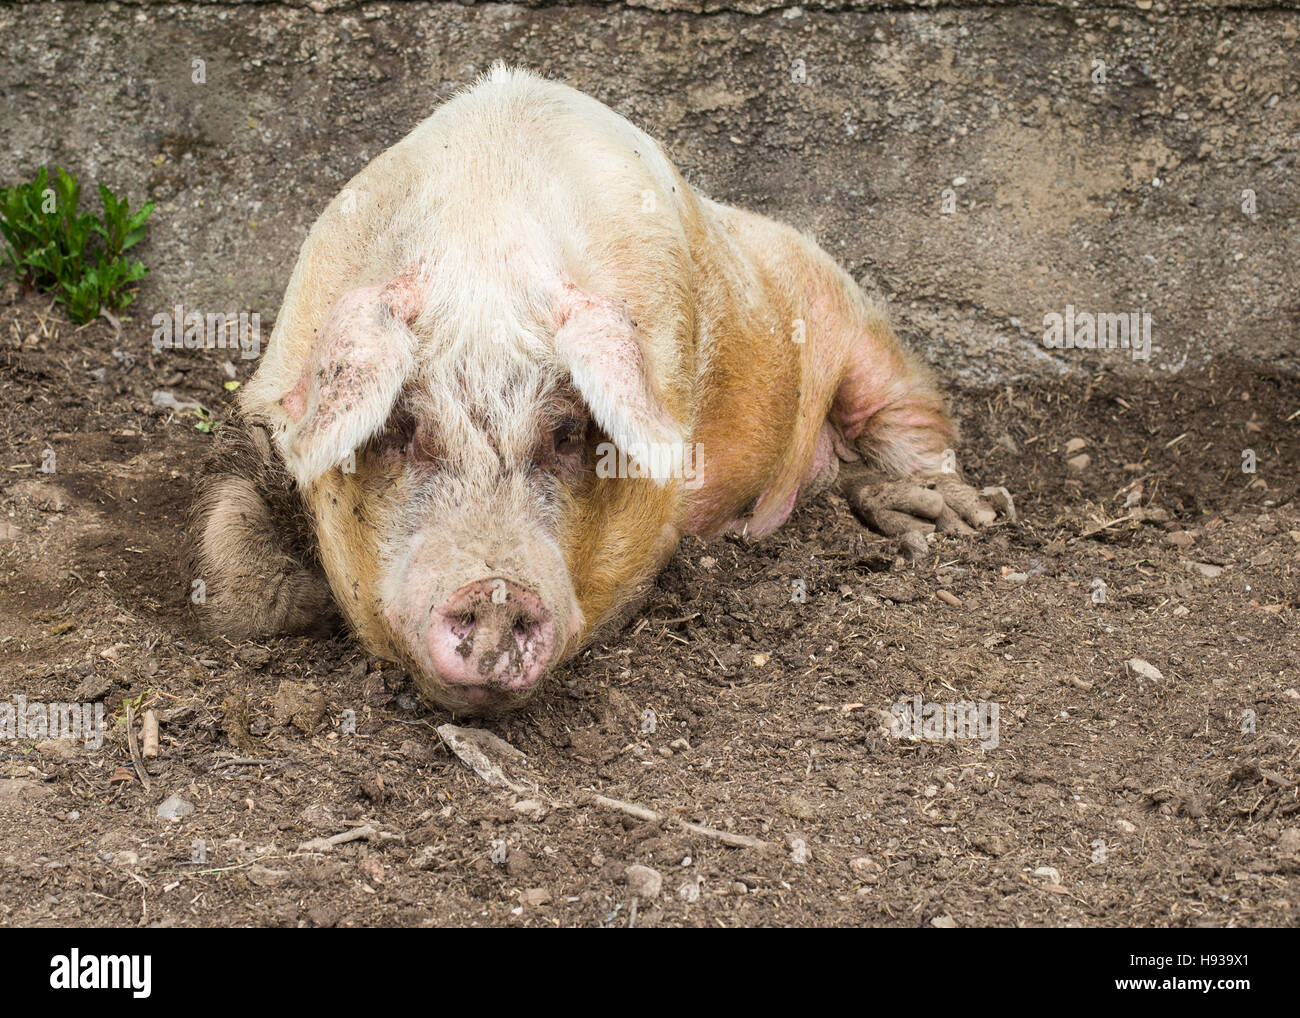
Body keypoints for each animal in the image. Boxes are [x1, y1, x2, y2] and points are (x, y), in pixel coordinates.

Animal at [189, 66, 1003, 713]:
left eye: (565, 432)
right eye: (402, 428)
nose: (495, 594)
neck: (486, 242)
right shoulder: (266, 403)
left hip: (861, 326)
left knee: (912, 420)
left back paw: (963, 519)